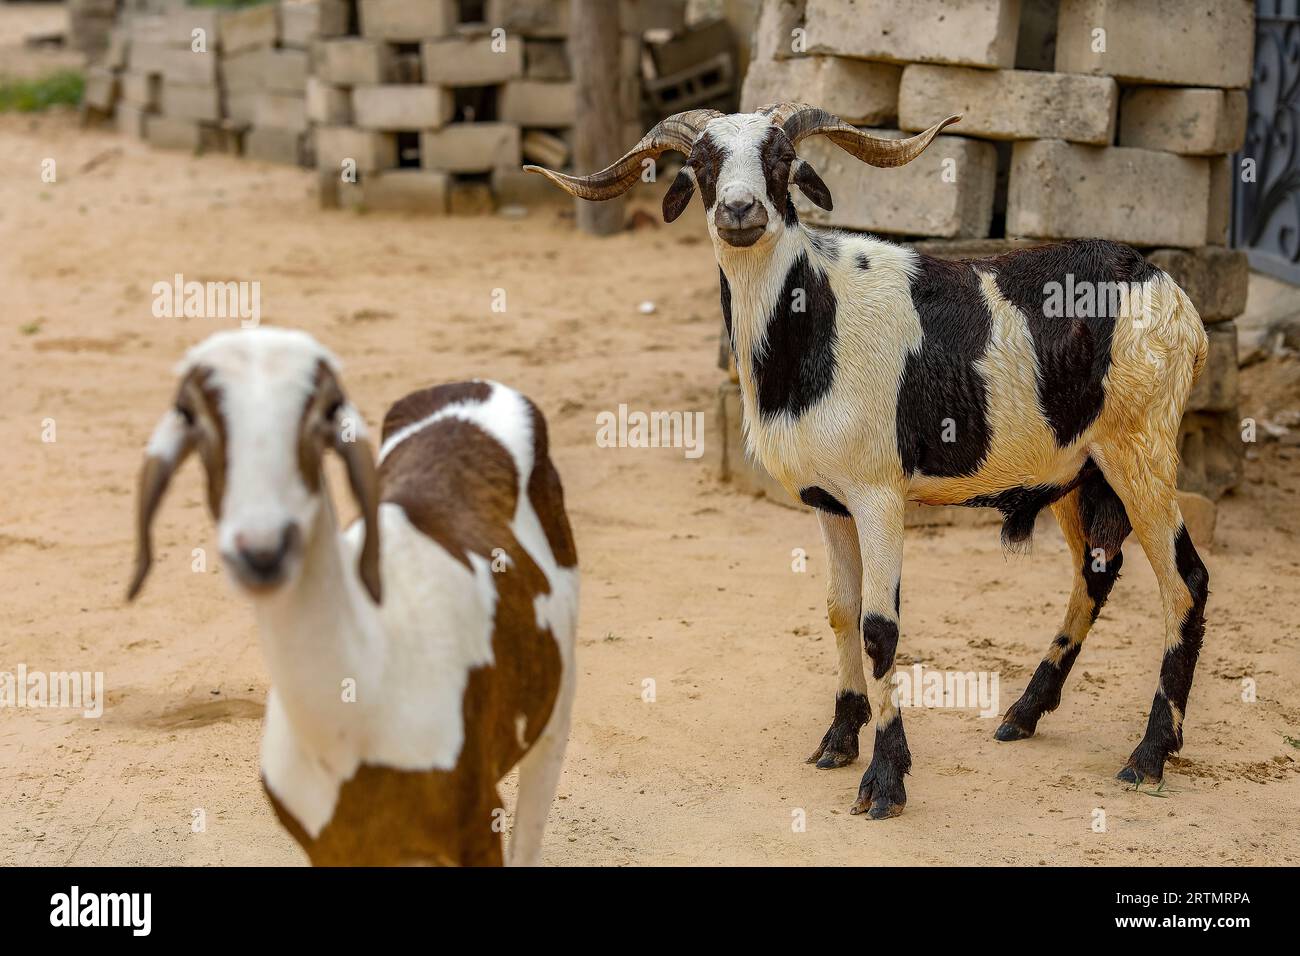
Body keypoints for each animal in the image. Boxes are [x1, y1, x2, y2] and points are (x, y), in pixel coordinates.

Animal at [127, 327, 578, 864]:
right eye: (191, 413)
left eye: (325, 410)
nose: (263, 550)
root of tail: (472, 385)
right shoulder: (332, 845)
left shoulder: (475, 827)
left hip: (556, 701)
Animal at [526, 105, 1210, 819]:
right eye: (703, 165)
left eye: (780, 161)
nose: (740, 210)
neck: (816, 317)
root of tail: (1171, 296)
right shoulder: (829, 501)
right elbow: (840, 610)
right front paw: (838, 739)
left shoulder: (879, 495)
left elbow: (880, 626)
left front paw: (886, 779)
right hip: (1080, 469)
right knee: (1096, 574)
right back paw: (1024, 714)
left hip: (1141, 448)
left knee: (1185, 582)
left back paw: (1149, 756)